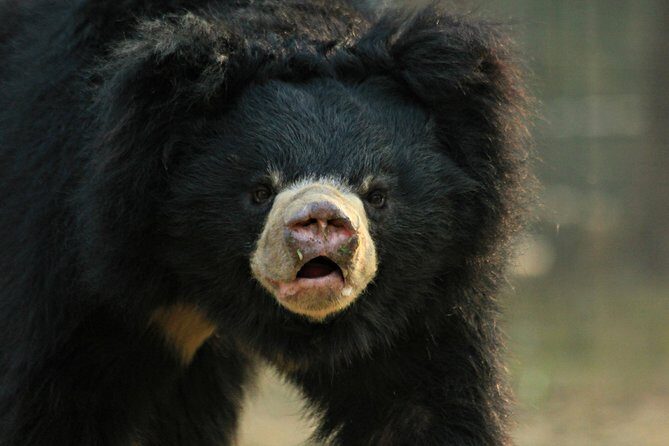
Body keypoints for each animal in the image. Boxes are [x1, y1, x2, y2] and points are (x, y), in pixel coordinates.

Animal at [0, 1, 530, 445]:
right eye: (260, 191)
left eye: (377, 194)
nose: (322, 222)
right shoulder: (80, 252)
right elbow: (55, 400)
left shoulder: (419, 295)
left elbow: (420, 406)